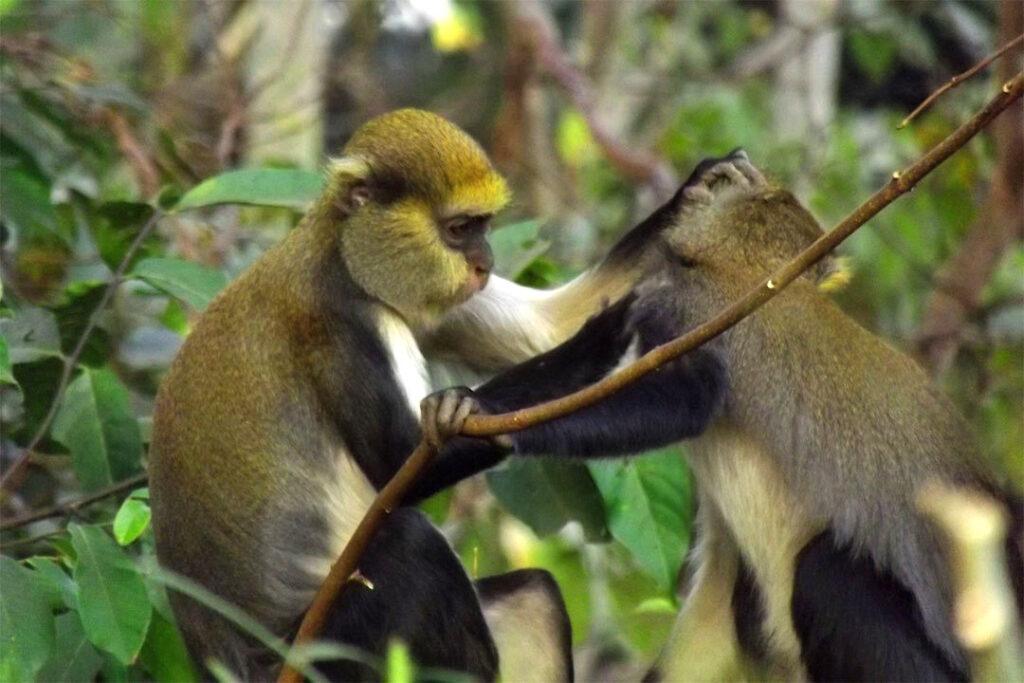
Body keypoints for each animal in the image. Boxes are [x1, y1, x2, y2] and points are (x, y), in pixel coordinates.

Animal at [148, 108, 726, 681]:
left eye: (483, 228)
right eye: (459, 230)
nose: (484, 263)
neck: (340, 250)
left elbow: (544, 327)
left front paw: (702, 190)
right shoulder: (346, 321)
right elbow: (403, 463)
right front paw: (601, 333)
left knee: (533, 595)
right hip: (325, 650)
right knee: (408, 539)